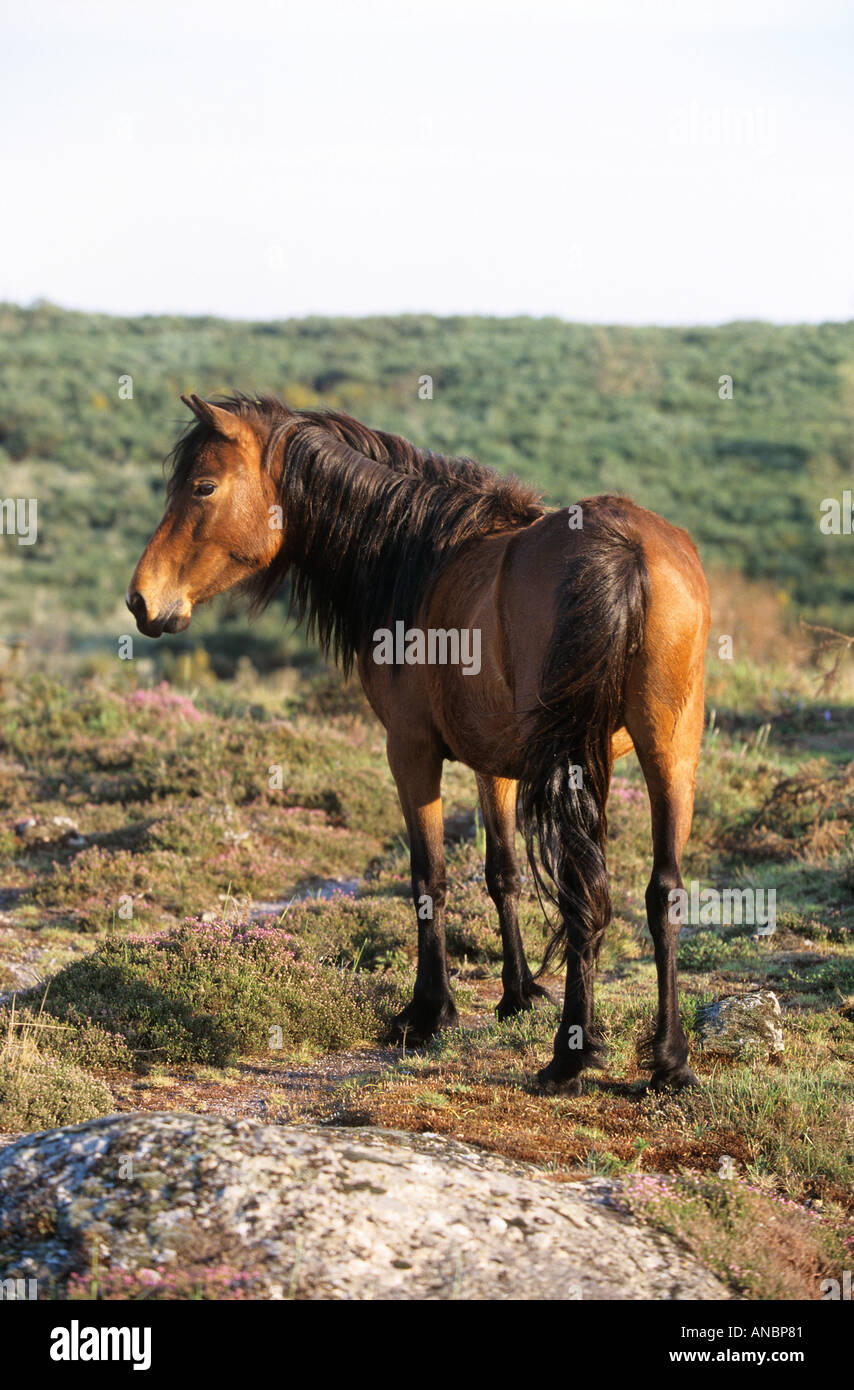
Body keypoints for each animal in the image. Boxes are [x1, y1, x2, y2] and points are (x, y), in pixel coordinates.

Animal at [127, 393, 710, 1093]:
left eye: (203, 487)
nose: (140, 601)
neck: (421, 559)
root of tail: (624, 549)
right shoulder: (499, 765)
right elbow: (503, 873)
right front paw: (517, 996)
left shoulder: (410, 751)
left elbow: (428, 877)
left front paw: (428, 1013)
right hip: (668, 753)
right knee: (661, 891)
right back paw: (669, 1060)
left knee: (580, 891)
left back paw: (568, 1058)